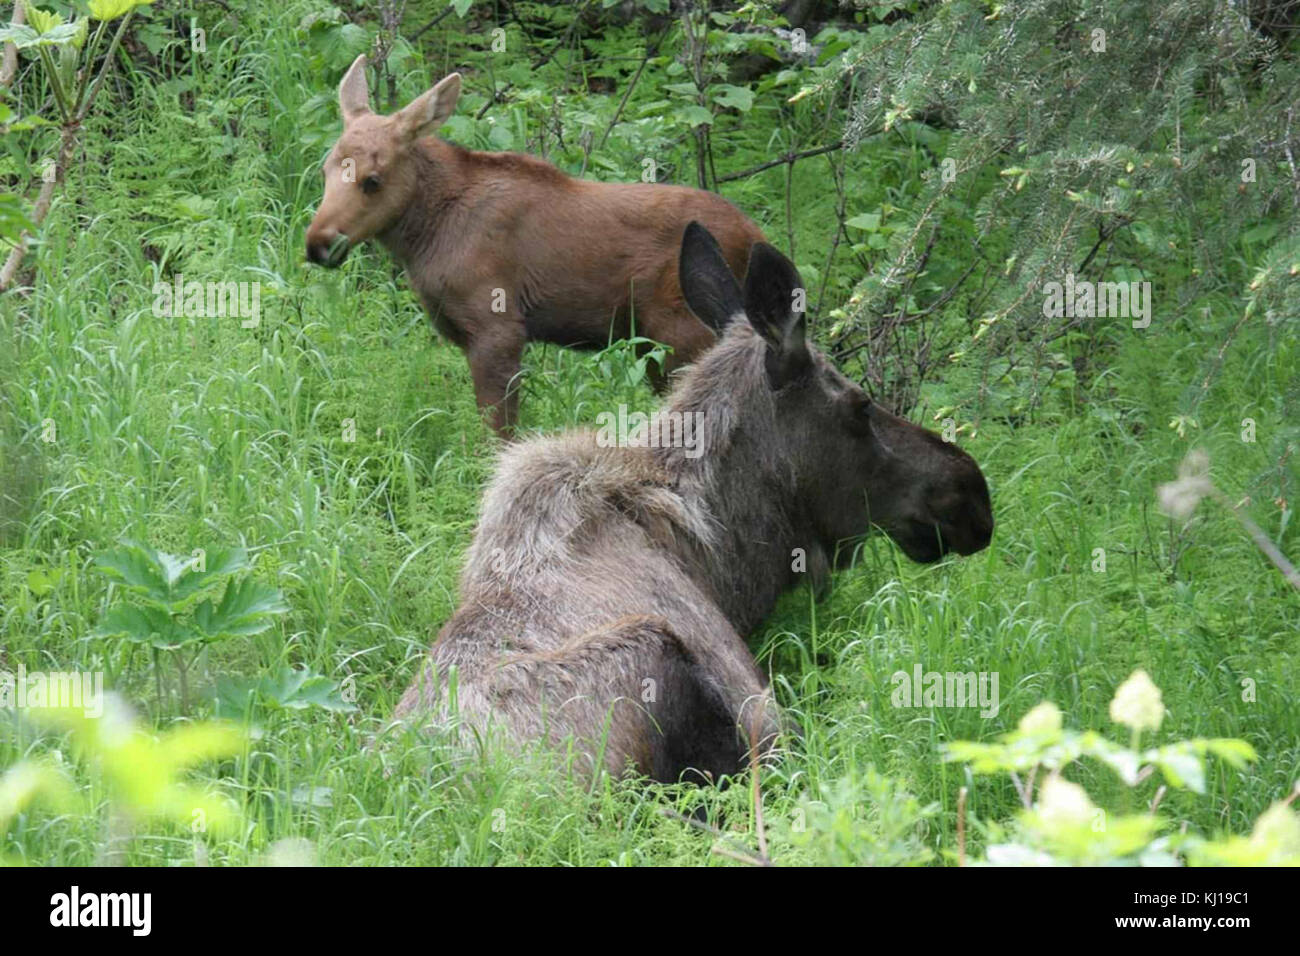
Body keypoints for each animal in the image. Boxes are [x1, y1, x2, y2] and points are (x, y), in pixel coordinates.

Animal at [305, 57, 766, 435]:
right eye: (325, 170)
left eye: (372, 180)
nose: (318, 244)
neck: (424, 238)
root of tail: (756, 236)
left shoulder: (498, 328)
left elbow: (498, 433)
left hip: (680, 331)